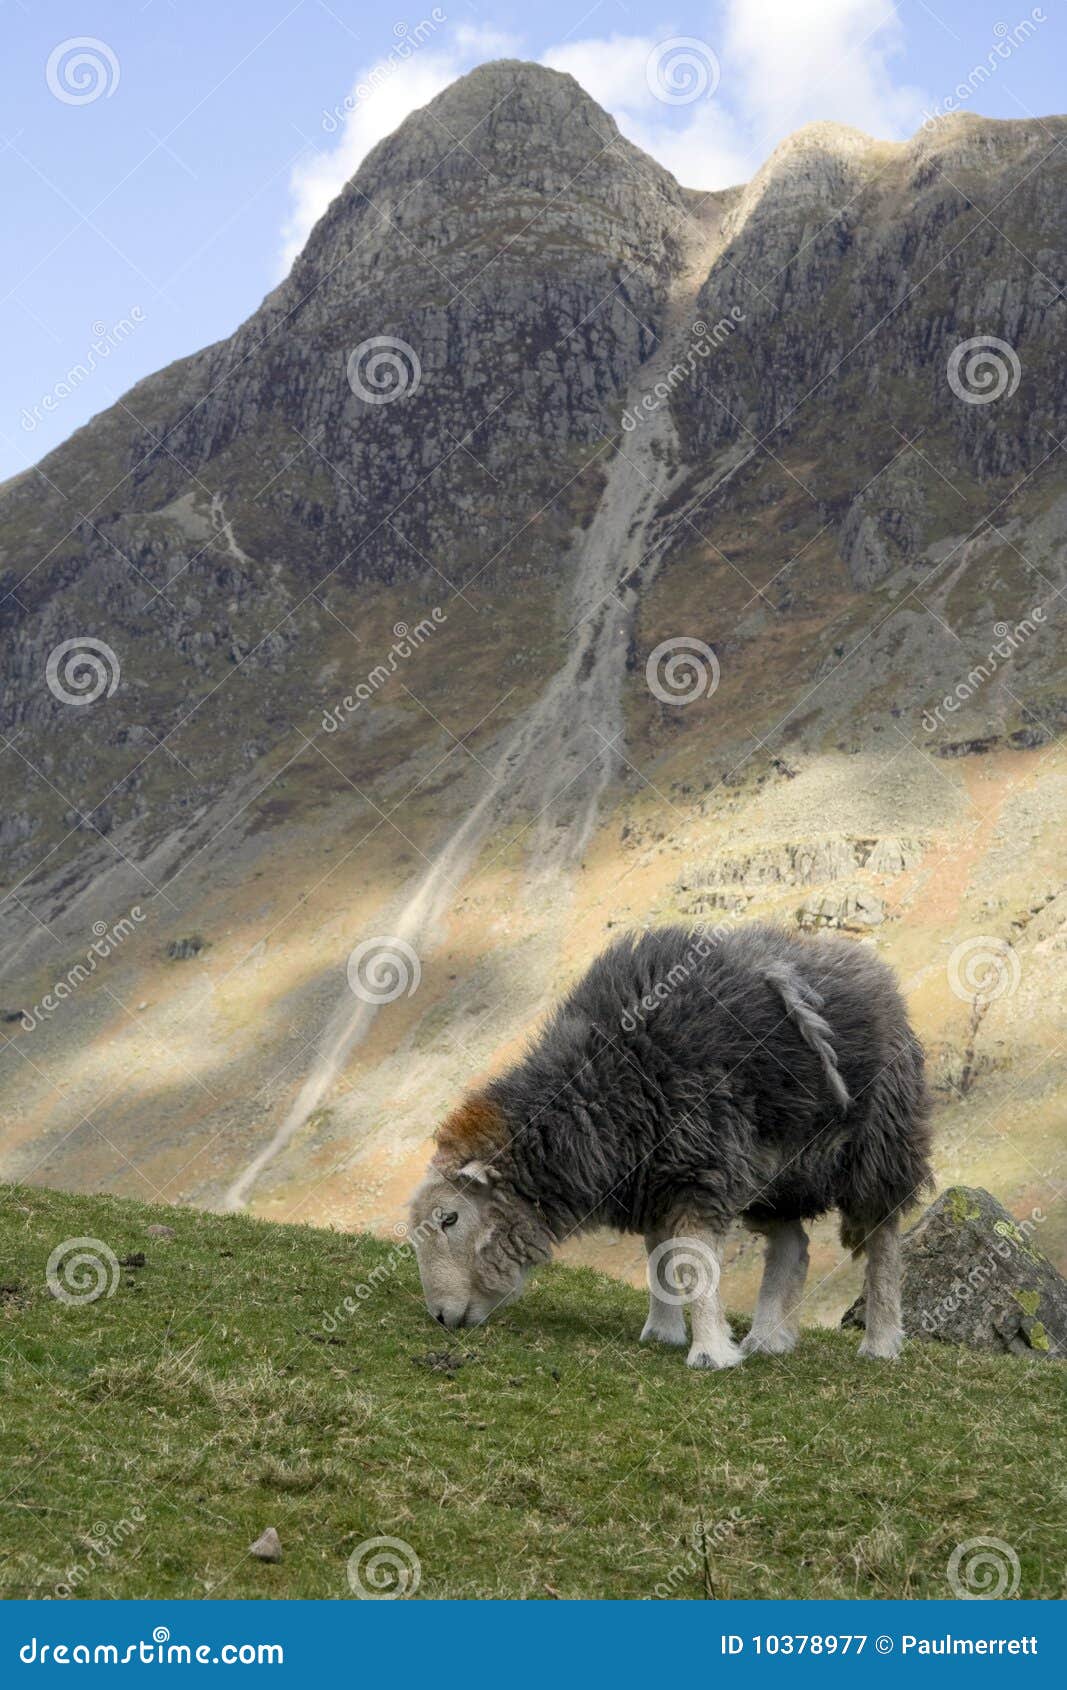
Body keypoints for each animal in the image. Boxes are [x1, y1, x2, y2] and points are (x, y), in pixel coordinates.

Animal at [408, 923, 932, 1367]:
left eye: (449, 1218)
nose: (440, 1317)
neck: (605, 1082)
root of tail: (873, 968)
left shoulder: (700, 1171)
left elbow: (696, 1262)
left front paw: (710, 1353)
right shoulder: (652, 1179)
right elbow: (659, 1256)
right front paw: (663, 1333)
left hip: (880, 1148)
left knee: (883, 1239)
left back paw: (881, 1342)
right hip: (776, 1174)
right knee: (792, 1244)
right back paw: (768, 1338)